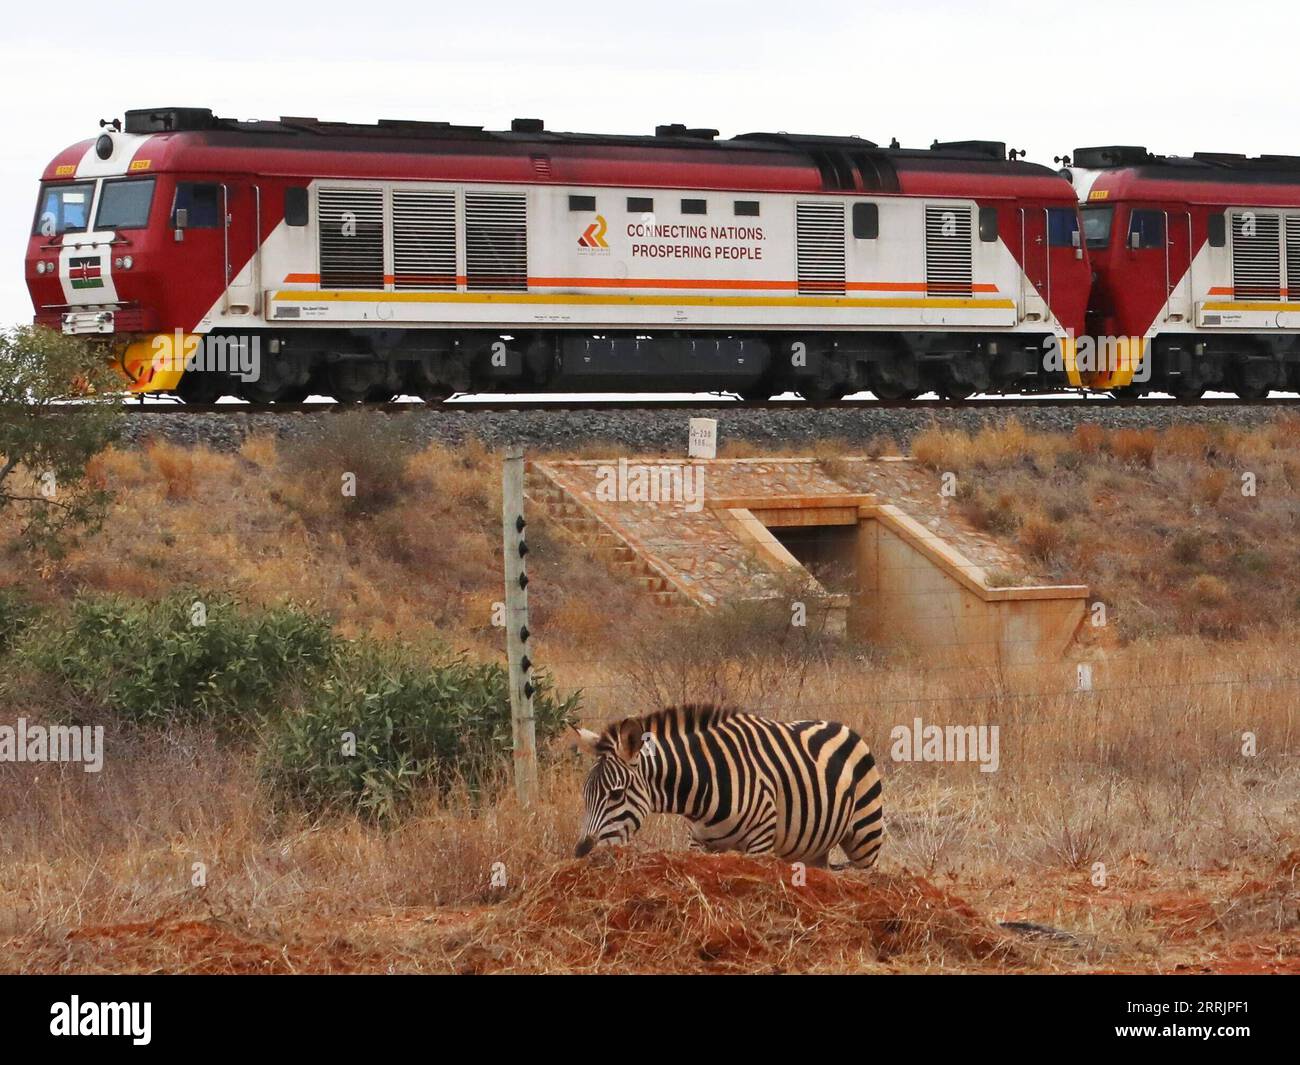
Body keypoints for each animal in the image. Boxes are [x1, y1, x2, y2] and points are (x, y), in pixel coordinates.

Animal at [572, 704, 883, 868]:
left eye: (616, 794)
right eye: (585, 795)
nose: (582, 853)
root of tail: (841, 725)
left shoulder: (760, 840)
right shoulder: (699, 843)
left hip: (865, 836)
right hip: (814, 848)